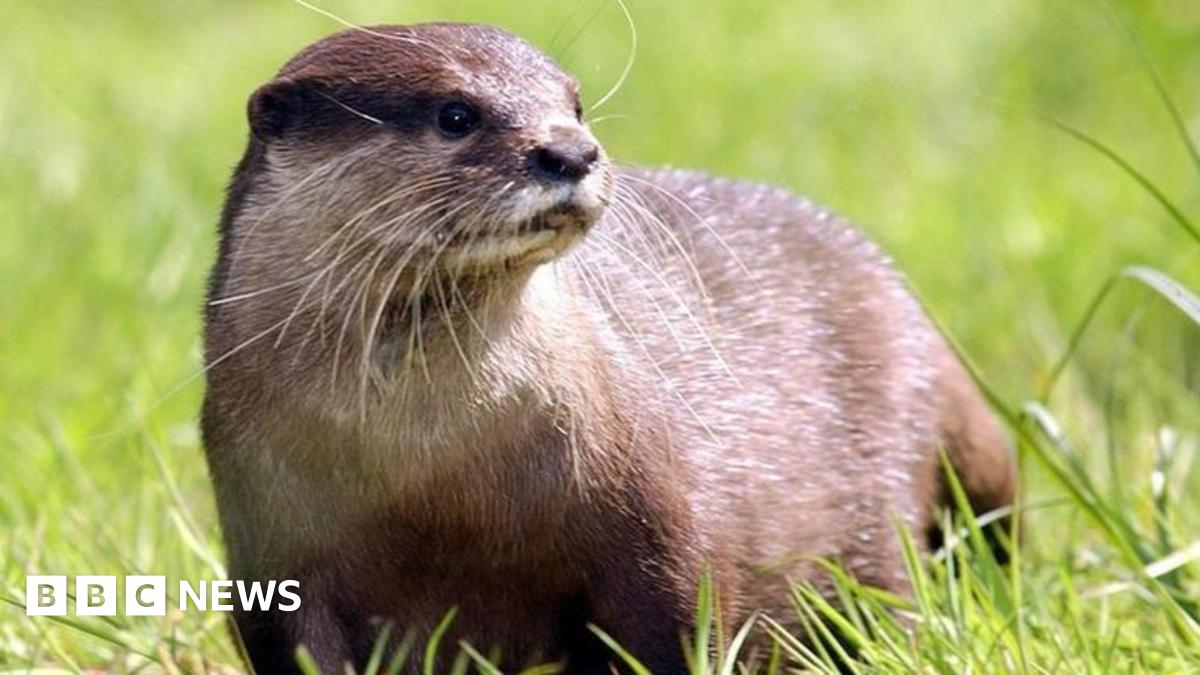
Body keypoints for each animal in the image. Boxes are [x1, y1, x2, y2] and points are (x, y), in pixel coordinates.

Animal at [202, 22, 1016, 674]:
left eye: (574, 104)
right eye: (456, 113)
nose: (571, 151)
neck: (429, 473)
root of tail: (907, 302)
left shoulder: (650, 514)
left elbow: (679, 620)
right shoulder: (268, 540)